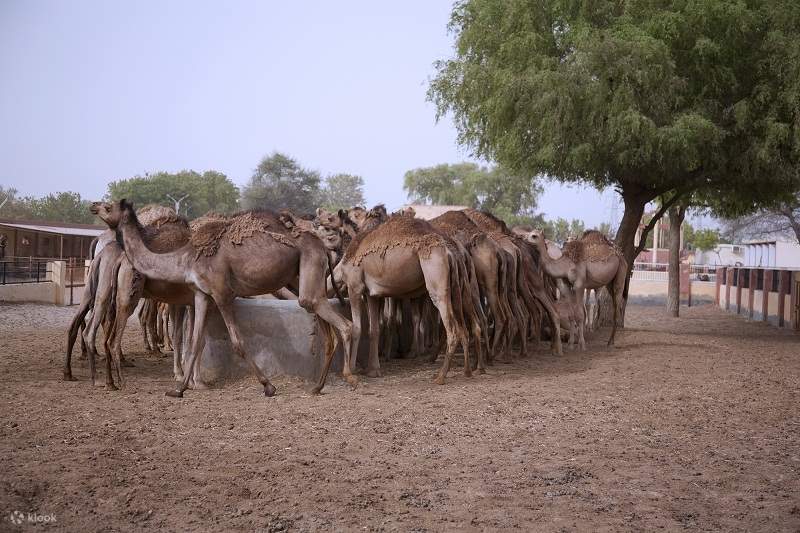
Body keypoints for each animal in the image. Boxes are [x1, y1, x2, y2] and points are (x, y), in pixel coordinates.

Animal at [92, 200, 353, 397]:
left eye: (109, 206)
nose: (93, 205)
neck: (185, 257)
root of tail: (321, 246)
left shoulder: (222, 293)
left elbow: (236, 342)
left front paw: (268, 386)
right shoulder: (201, 294)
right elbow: (195, 340)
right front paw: (179, 389)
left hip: (309, 263)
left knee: (339, 320)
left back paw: (349, 378)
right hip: (307, 274)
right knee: (322, 316)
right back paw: (318, 386)